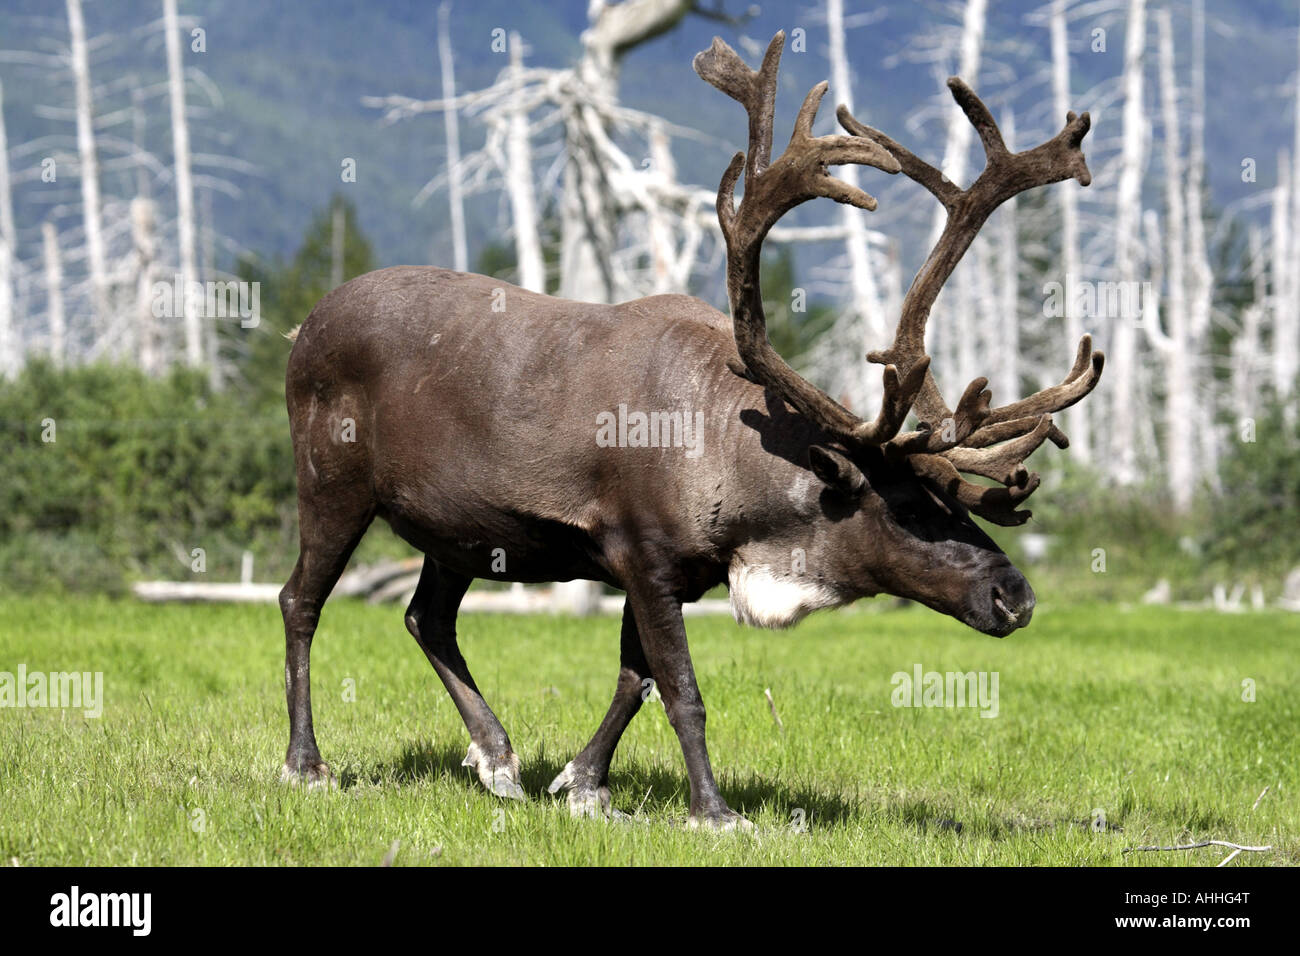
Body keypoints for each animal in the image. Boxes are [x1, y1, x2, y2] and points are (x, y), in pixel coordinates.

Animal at [278, 31, 1101, 830]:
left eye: (956, 499)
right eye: (902, 506)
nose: (1016, 597)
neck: (745, 488)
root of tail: (302, 326)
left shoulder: (677, 571)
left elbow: (633, 680)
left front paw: (583, 784)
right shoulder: (640, 554)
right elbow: (681, 691)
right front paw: (714, 810)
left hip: (460, 529)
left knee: (427, 618)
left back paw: (497, 757)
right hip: (332, 483)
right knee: (300, 601)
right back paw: (309, 765)